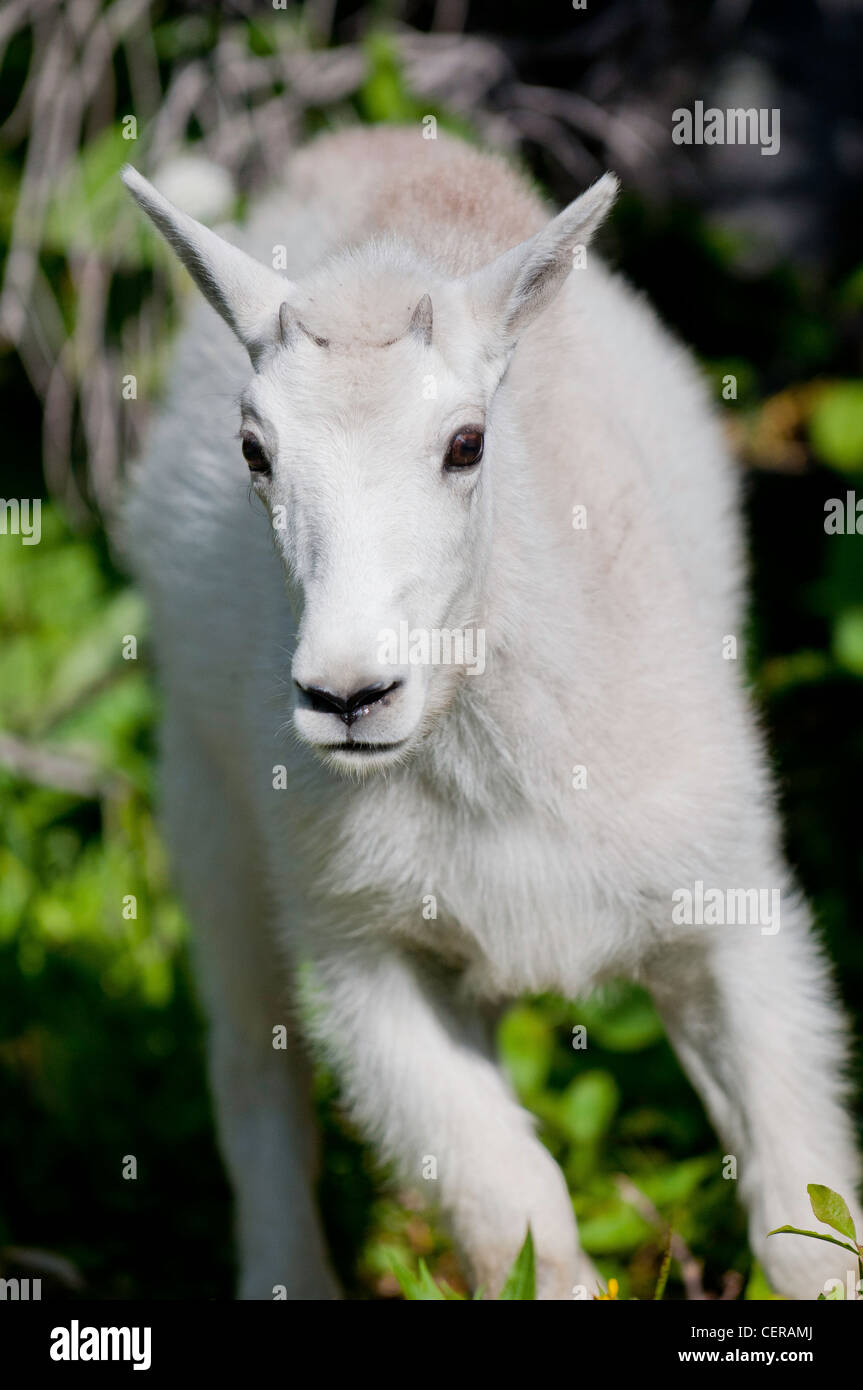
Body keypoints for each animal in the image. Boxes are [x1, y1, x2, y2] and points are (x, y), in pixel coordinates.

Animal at [122, 125, 860, 1300]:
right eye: (254, 451)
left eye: (466, 443)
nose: (347, 696)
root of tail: (359, 149)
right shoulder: (363, 950)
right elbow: (519, 1215)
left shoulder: (729, 908)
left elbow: (801, 1208)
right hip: (206, 810)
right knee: (252, 1072)